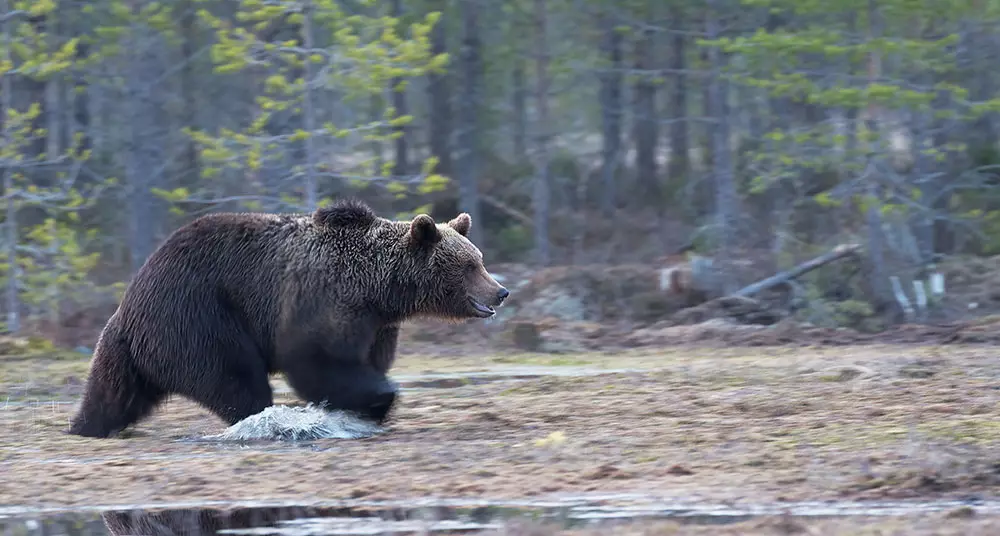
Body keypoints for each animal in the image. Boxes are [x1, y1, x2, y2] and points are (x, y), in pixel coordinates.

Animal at [68, 199, 508, 438]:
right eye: (470, 266)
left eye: (480, 259)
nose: (500, 291)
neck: (381, 290)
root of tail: (130, 300)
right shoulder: (323, 299)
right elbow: (316, 359)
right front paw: (374, 399)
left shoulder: (377, 325)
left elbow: (366, 360)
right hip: (198, 316)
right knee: (234, 377)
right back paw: (262, 418)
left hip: (138, 346)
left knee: (114, 391)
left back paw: (86, 425)